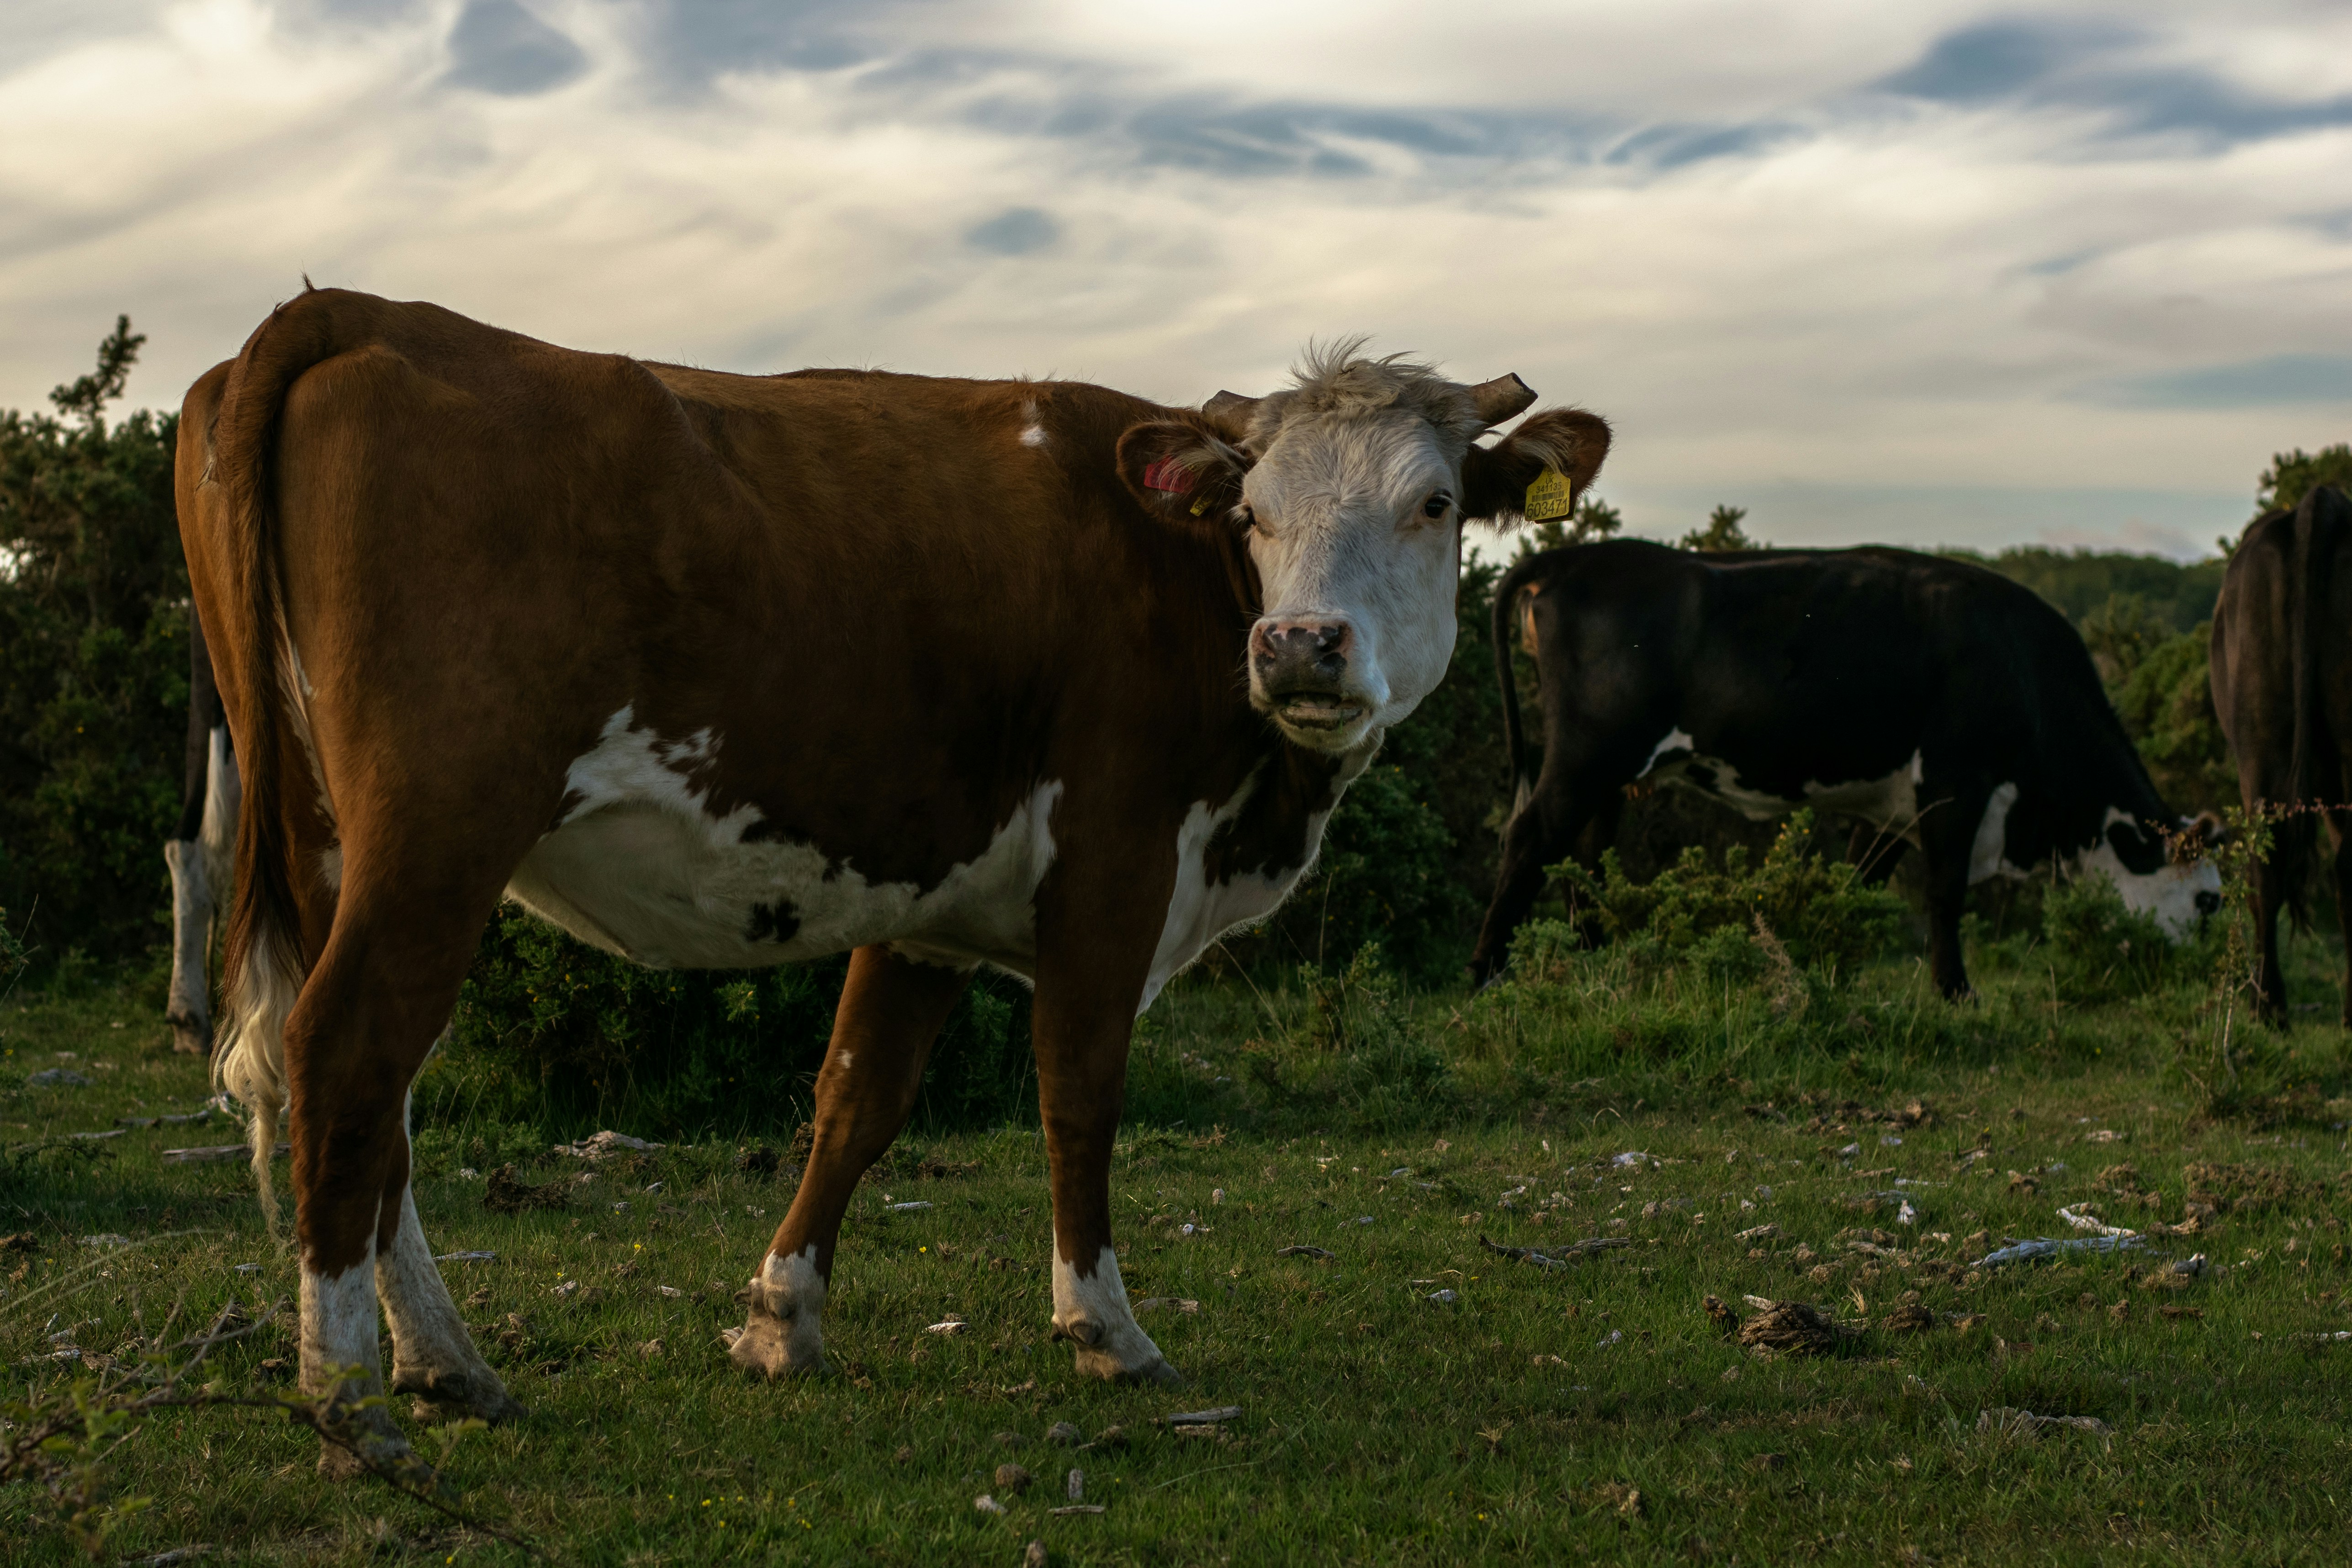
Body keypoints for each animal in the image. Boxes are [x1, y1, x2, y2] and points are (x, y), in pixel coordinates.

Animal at [175, 288, 1612, 1471]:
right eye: (1255, 513)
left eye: (1432, 504)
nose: (1299, 643)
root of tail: (362, 313)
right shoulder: (1115, 857)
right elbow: (1077, 1094)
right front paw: (1104, 1327)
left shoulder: (929, 904)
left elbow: (856, 1097)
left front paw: (780, 1321)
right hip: (440, 829)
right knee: (348, 1056)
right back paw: (347, 1399)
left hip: (330, 840)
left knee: (380, 1103)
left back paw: (445, 1363)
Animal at [1468, 540, 2222, 998]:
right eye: (2209, 901)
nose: (2205, 976)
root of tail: (1576, 557)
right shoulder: (1956, 781)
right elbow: (1945, 893)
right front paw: (1956, 991)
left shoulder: (1893, 809)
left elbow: (1860, 887)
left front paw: (1832, 963)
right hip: (1589, 755)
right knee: (1530, 842)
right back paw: (1486, 975)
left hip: (1610, 773)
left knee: (1583, 860)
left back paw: (1593, 963)